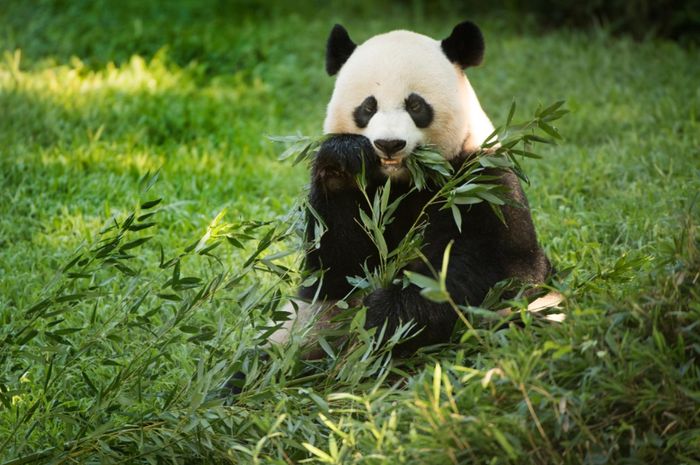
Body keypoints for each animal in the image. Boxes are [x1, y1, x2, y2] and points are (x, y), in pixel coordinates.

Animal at [269, 21, 553, 357]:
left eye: (415, 105)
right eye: (368, 107)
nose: (389, 144)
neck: (402, 181)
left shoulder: (480, 181)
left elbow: (498, 269)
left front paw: (383, 313)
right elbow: (333, 271)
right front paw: (344, 159)